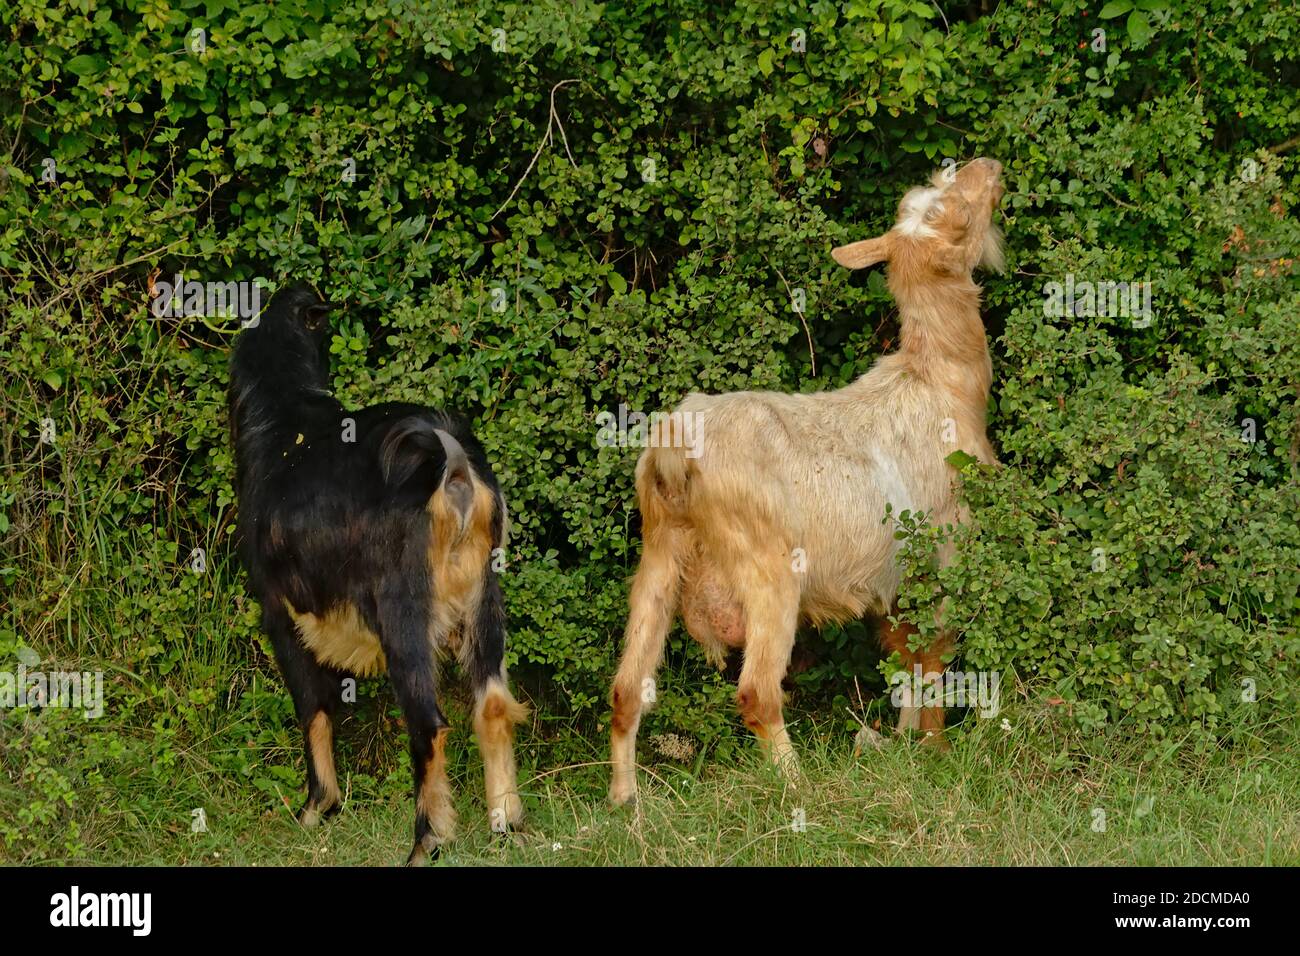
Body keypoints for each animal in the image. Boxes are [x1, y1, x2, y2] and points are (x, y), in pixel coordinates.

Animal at [229, 284, 527, 864]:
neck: (285, 418)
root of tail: (450, 466)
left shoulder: (280, 615)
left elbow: (313, 710)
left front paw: (316, 809)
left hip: (403, 618)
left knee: (429, 726)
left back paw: (425, 841)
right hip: (486, 603)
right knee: (493, 707)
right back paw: (506, 823)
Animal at [608, 159, 1006, 804]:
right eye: (948, 212)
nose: (989, 168)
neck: (940, 386)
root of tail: (673, 454)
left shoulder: (892, 577)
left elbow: (903, 657)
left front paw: (902, 745)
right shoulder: (944, 552)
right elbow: (933, 656)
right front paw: (936, 751)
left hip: (659, 555)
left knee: (627, 687)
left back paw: (625, 801)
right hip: (767, 568)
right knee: (756, 692)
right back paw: (799, 790)